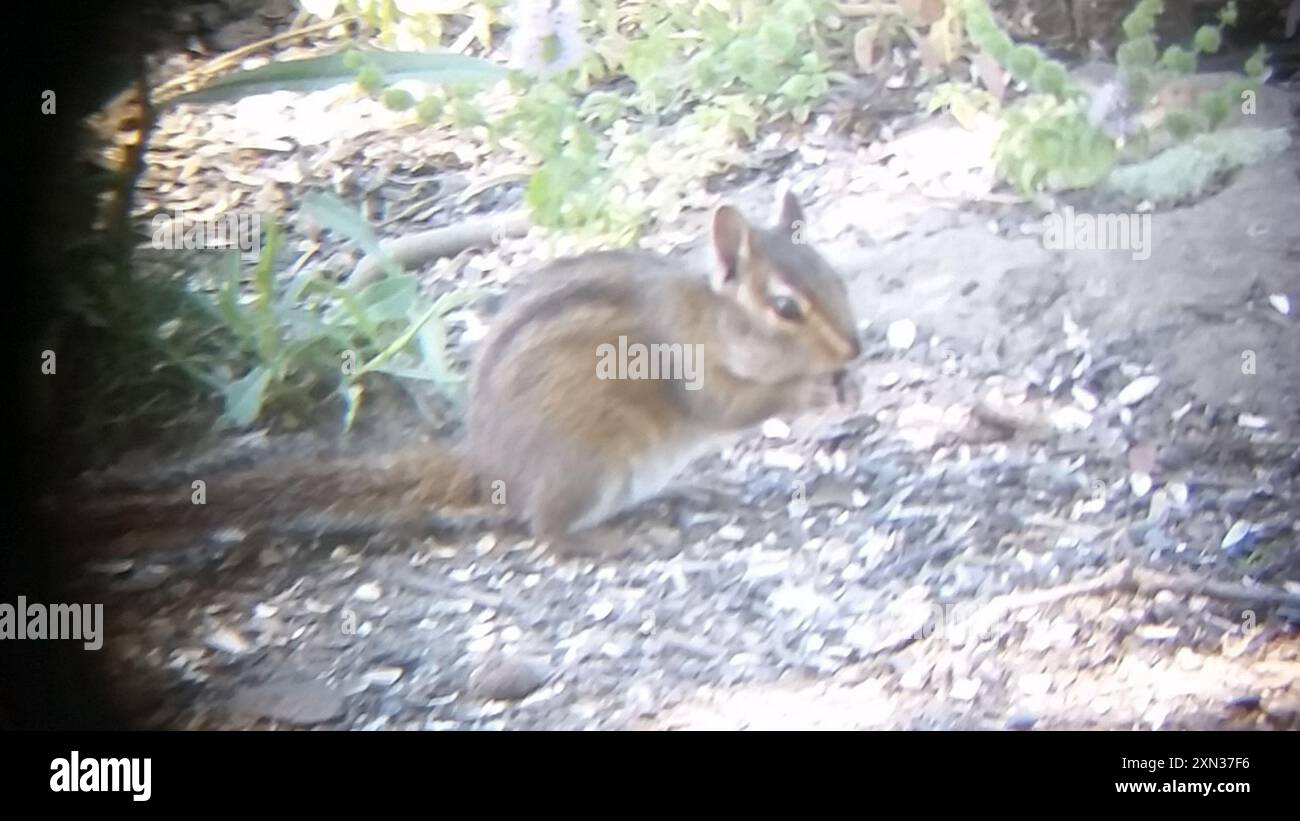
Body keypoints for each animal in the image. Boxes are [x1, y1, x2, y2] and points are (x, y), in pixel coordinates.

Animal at [56, 189, 862, 559]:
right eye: (785, 306)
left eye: (836, 278)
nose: (854, 351)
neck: (711, 318)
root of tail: (489, 466)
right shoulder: (688, 368)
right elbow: (730, 405)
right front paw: (809, 390)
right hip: (588, 467)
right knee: (547, 532)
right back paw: (607, 540)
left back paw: (692, 487)